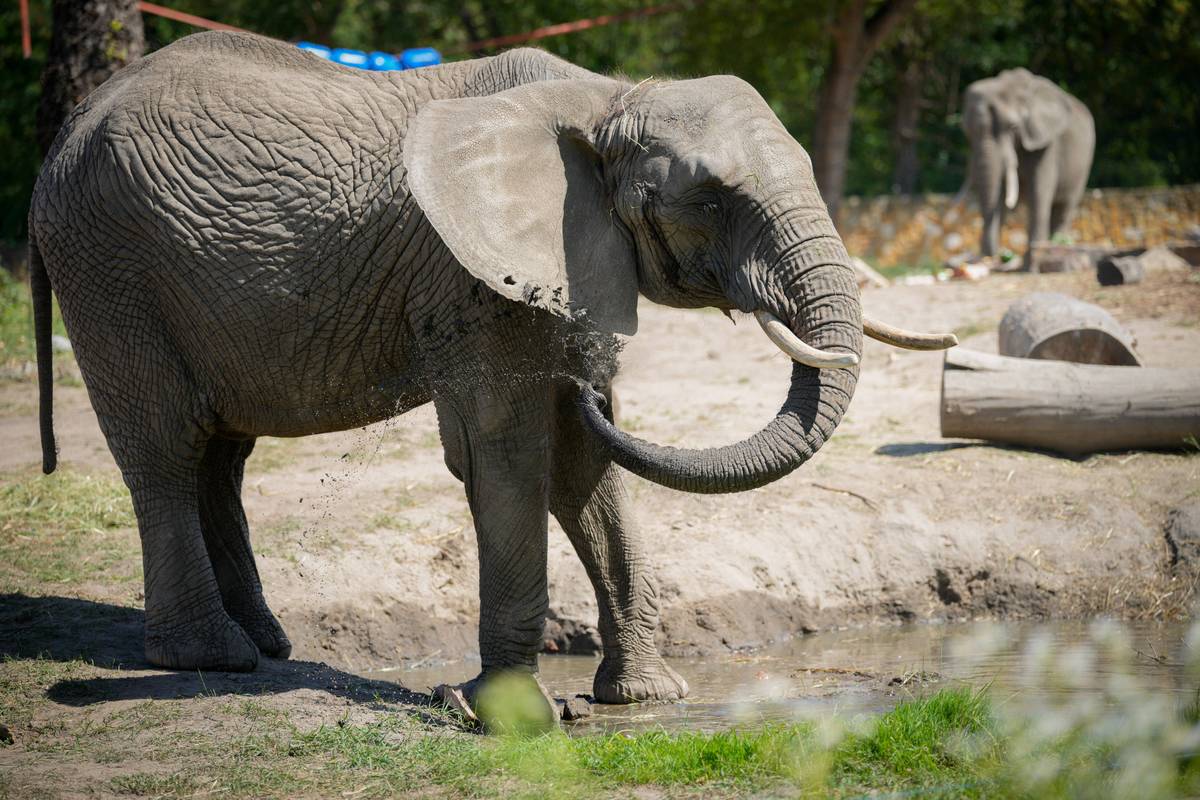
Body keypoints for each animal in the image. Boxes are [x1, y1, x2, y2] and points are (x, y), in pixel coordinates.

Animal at [28, 32, 954, 705]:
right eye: (711, 200)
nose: (598, 386)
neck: (605, 98)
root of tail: (68, 126)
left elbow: (581, 464)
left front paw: (644, 699)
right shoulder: (468, 275)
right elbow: (507, 450)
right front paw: (503, 713)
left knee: (222, 454)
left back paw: (267, 642)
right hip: (110, 271)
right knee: (168, 447)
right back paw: (213, 658)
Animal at [962, 67, 1095, 261]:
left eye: (1012, 126)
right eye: (966, 130)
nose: (991, 256)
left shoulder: (1047, 144)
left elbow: (1038, 193)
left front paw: (1033, 256)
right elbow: (1000, 196)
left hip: (1084, 164)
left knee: (1065, 207)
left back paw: (1057, 245)